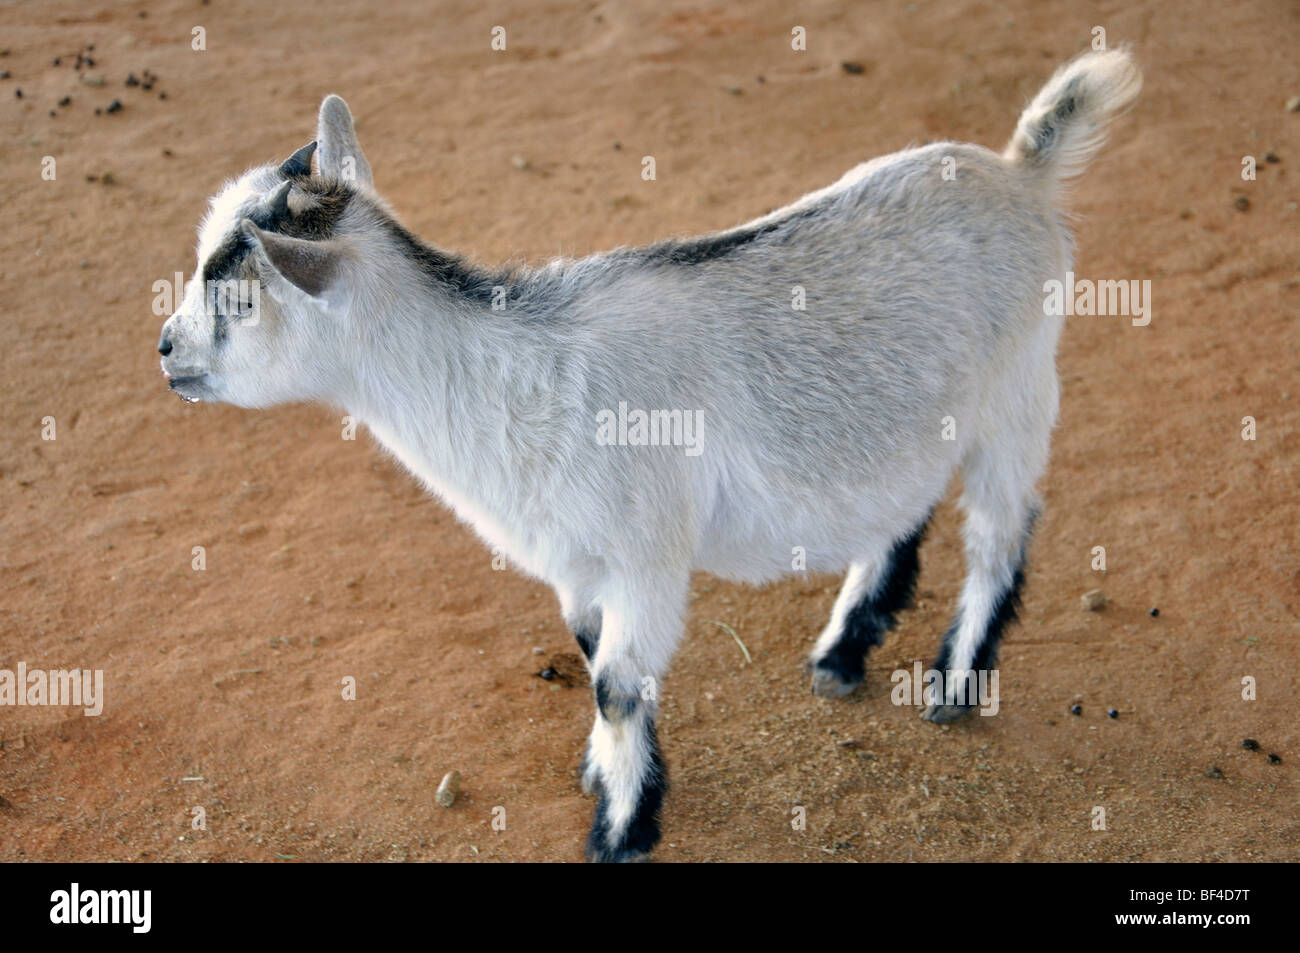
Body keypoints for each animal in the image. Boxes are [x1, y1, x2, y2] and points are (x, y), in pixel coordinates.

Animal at [158, 49, 1141, 861]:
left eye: (236, 297)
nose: (166, 349)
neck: (511, 376)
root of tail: (1022, 172)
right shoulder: (578, 559)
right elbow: (592, 658)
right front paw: (606, 778)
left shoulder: (646, 552)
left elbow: (619, 685)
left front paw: (622, 832)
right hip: (913, 417)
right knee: (898, 506)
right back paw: (842, 653)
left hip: (1017, 394)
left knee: (999, 533)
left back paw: (954, 683)